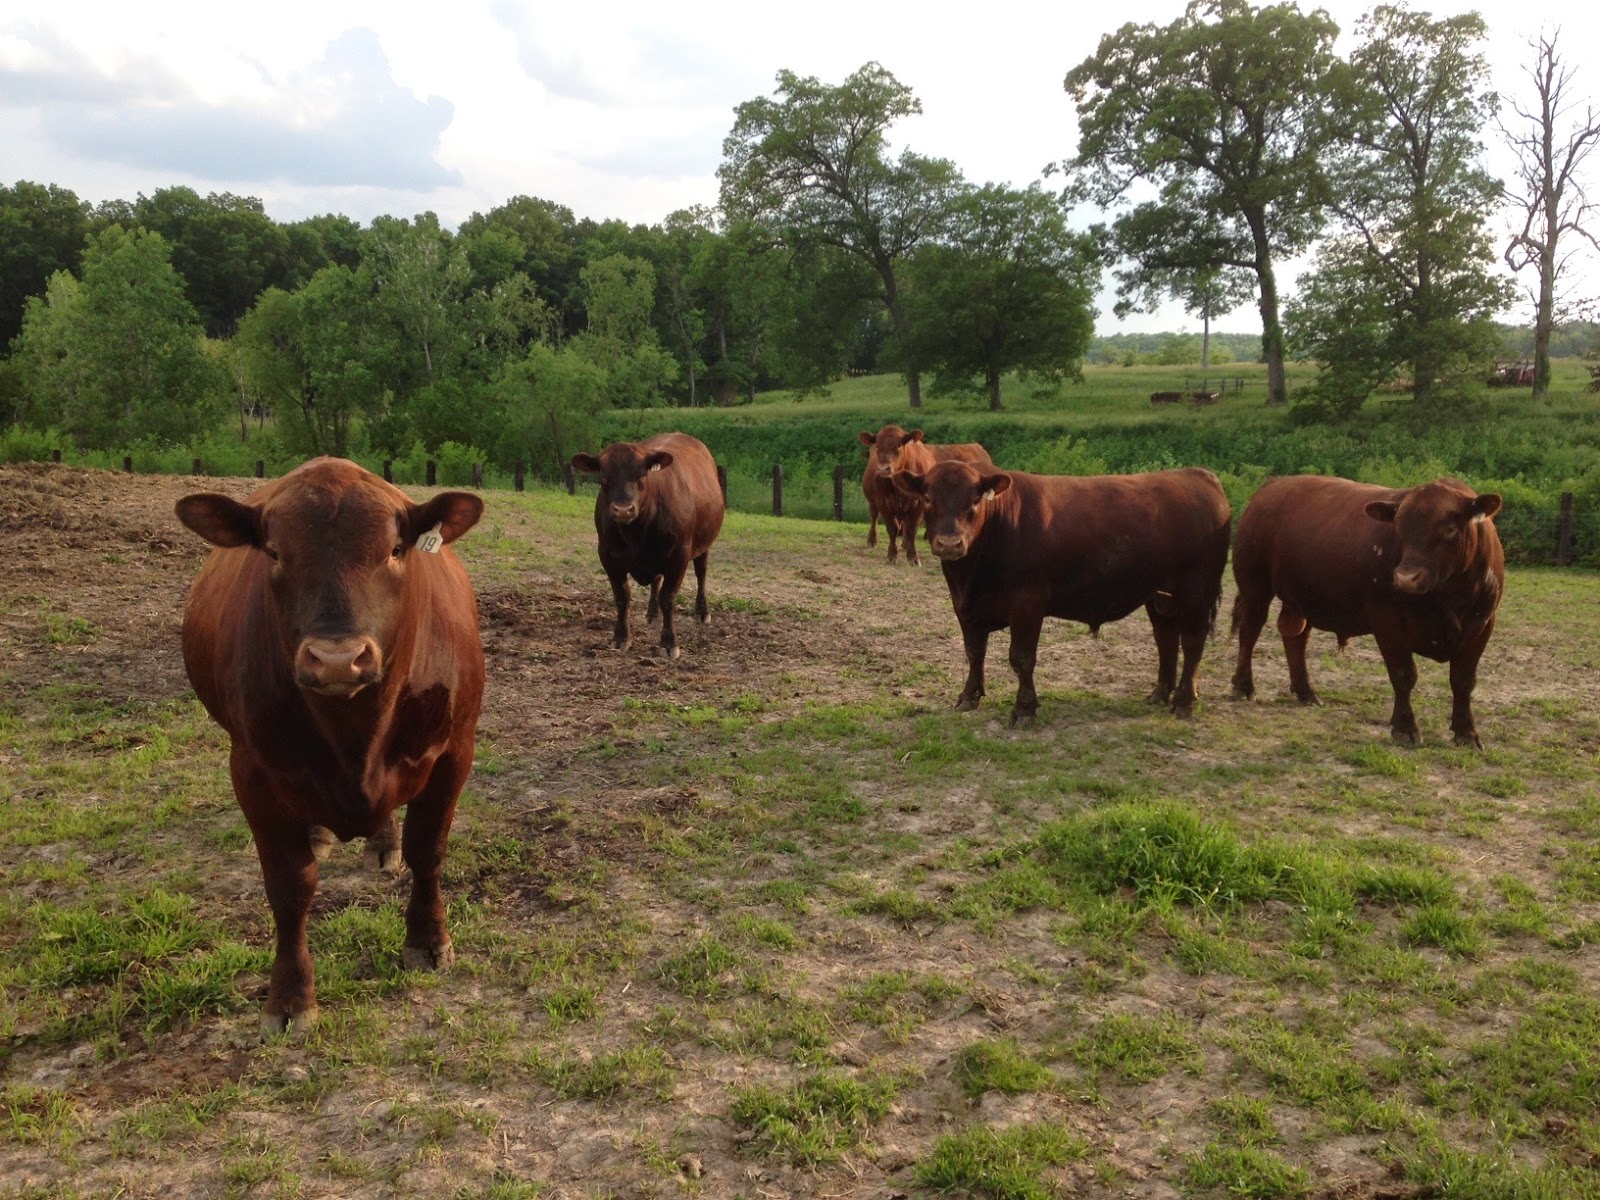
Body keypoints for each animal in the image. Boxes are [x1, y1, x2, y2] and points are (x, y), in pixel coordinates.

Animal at [175, 457, 485, 1037]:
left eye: (395, 548)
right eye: (274, 553)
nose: (338, 658)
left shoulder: (454, 751)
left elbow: (428, 850)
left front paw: (428, 940)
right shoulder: (253, 773)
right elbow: (289, 885)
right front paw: (290, 996)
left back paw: (381, 843)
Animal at [570, 432, 725, 659]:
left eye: (641, 475)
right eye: (604, 477)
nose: (623, 510)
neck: (637, 533)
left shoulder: (678, 557)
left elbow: (668, 598)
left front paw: (669, 643)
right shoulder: (608, 556)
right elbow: (622, 596)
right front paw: (621, 637)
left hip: (703, 543)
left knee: (701, 573)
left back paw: (702, 612)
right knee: (656, 581)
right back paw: (652, 613)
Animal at [858, 424, 991, 565]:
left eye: (898, 445)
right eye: (878, 445)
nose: (883, 469)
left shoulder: (919, 505)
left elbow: (911, 530)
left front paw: (913, 557)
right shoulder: (883, 503)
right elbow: (892, 529)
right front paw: (892, 555)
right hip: (873, 502)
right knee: (874, 516)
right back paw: (872, 540)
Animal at [897, 461, 1231, 725]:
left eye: (975, 499)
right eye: (927, 498)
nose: (949, 544)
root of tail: (1199, 476)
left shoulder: (1027, 605)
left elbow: (1021, 658)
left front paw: (1024, 710)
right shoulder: (965, 607)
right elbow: (974, 652)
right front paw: (969, 696)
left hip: (1196, 590)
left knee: (1192, 641)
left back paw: (1183, 701)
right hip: (1160, 595)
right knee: (1166, 638)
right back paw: (1160, 693)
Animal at [1229, 475, 1504, 748]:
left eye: (1450, 529)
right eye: (1399, 528)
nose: (1406, 578)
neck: (1448, 596)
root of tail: (1273, 484)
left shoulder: (1482, 626)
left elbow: (1463, 680)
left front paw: (1466, 732)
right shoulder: (1388, 622)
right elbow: (1403, 675)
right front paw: (1405, 728)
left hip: (1301, 598)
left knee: (1295, 638)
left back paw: (1306, 691)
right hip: (1255, 587)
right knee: (1250, 631)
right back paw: (1243, 686)